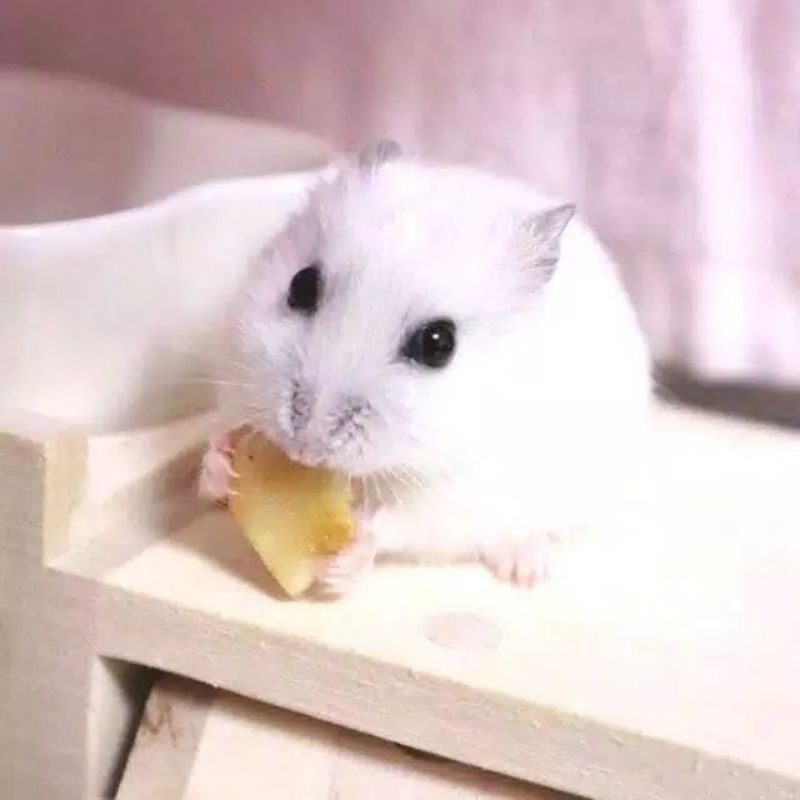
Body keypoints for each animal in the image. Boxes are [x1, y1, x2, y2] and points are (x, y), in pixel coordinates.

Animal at [199, 141, 652, 595]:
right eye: (302, 285)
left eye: (438, 343)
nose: (304, 450)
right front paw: (221, 462)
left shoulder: (453, 497)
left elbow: (396, 524)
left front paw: (345, 561)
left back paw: (525, 570)